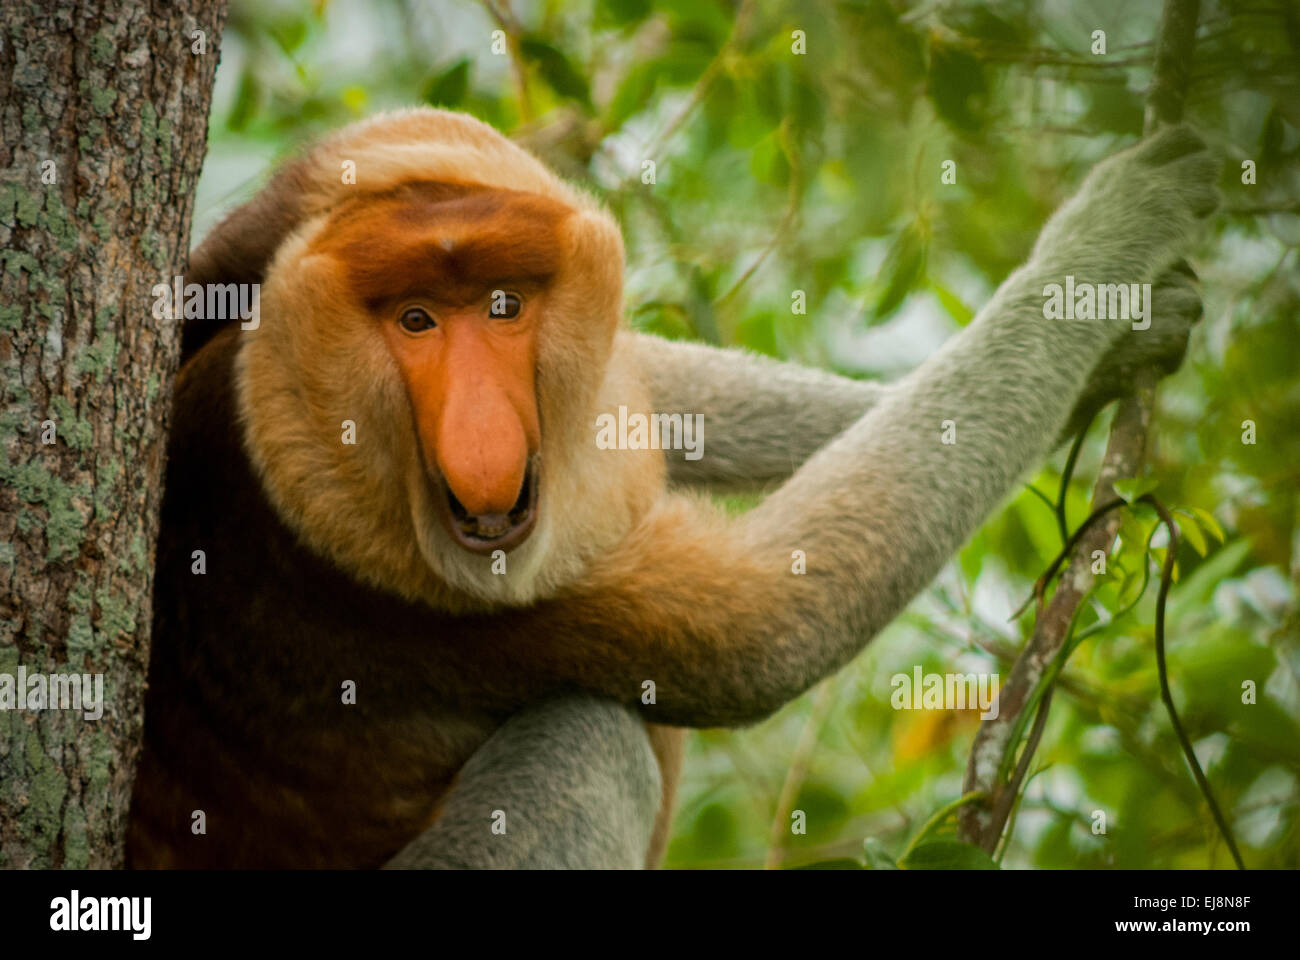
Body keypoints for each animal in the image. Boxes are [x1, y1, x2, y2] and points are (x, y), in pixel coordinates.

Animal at [127, 107, 1216, 869]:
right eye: (415, 323)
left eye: (504, 307)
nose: (481, 442)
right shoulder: (355, 556)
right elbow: (765, 629)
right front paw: (1121, 226)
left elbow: (641, 402)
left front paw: (1127, 335)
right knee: (593, 739)